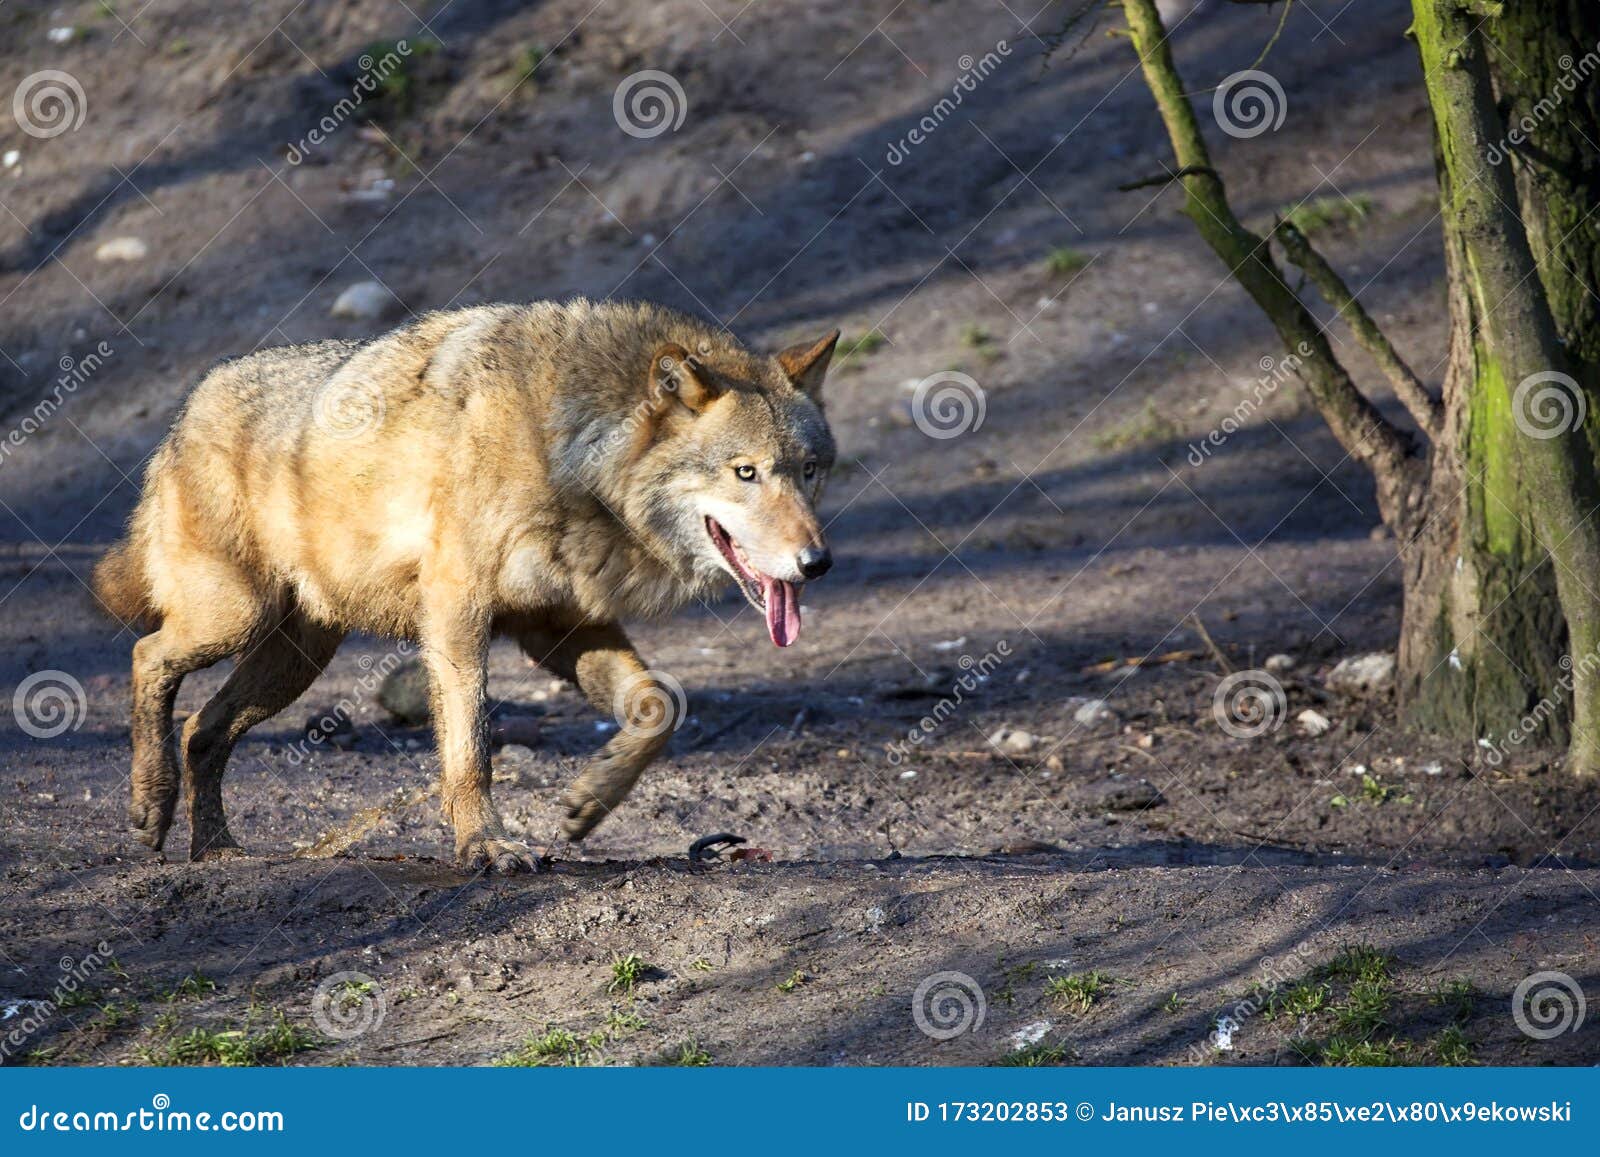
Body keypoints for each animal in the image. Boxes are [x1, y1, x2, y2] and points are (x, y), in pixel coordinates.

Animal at [92, 299, 839, 873]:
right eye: (745, 472)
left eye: (809, 470)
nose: (817, 563)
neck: (566, 444)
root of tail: (185, 410)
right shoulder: (458, 611)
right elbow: (471, 747)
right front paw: (486, 844)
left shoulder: (557, 624)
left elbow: (660, 705)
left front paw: (587, 804)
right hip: (236, 618)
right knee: (147, 657)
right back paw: (150, 803)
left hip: (296, 658)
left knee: (202, 726)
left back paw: (215, 851)